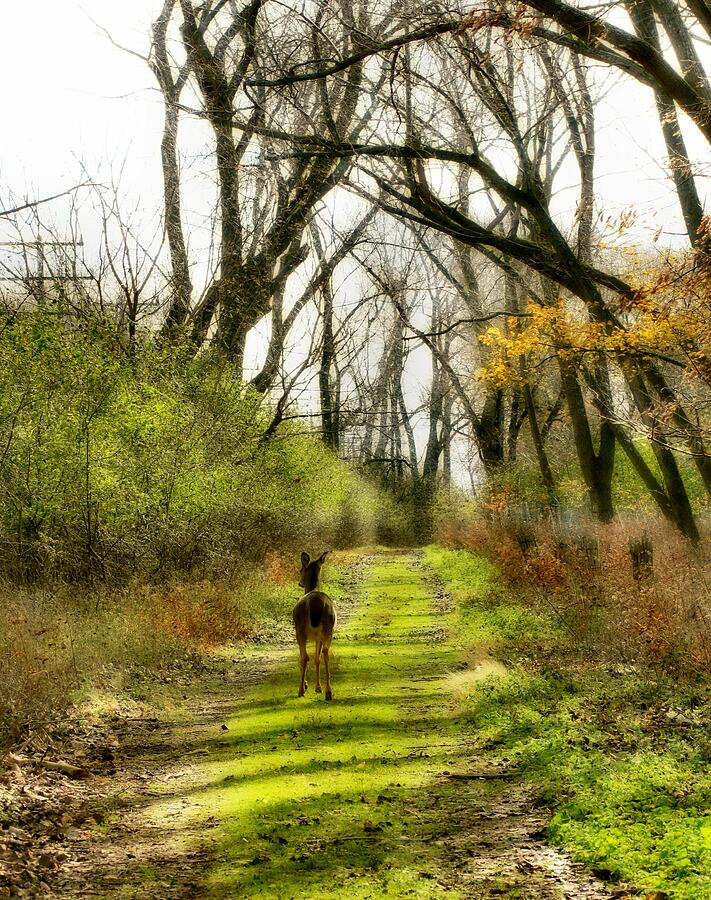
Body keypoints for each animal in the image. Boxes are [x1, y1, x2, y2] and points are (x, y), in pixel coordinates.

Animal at [293, 551, 337, 701]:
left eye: (301, 570)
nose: (300, 583)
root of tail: (316, 604)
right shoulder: (318, 637)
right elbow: (317, 659)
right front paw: (318, 688)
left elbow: (304, 657)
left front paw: (306, 685)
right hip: (328, 628)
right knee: (325, 653)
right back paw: (328, 692)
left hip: (300, 629)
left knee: (305, 657)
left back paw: (300, 690)